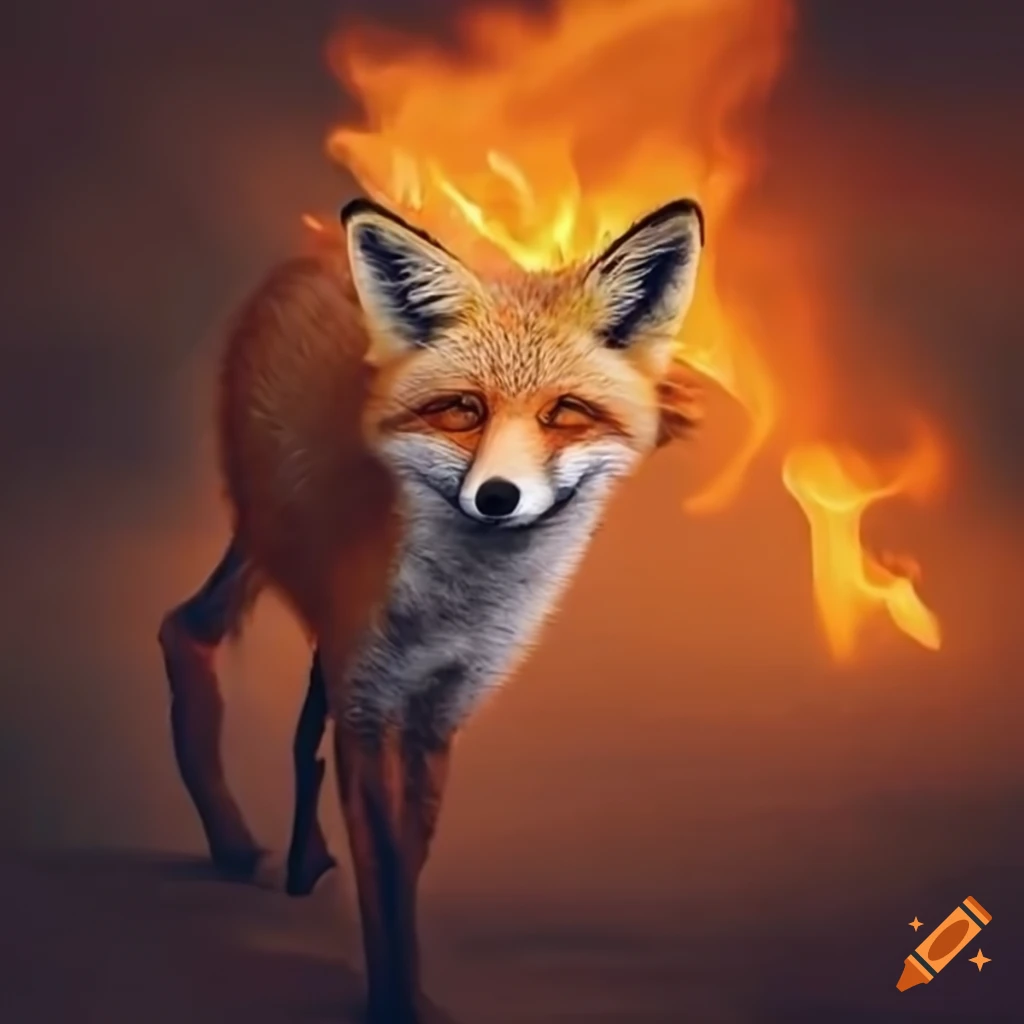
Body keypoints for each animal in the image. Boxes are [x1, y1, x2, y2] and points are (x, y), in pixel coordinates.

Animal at [157, 194, 705, 1023]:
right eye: (463, 410)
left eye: (565, 413)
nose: (497, 497)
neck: (451, 613)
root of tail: (313, 253)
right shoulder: (365, 709)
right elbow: (382, 875)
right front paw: (393, 1001)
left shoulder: (436, 714)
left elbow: (406, 868)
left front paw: (407, 989)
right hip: (266, 536)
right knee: (186, 630)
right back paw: (234, 841)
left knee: (210, 643)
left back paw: (272, 852)